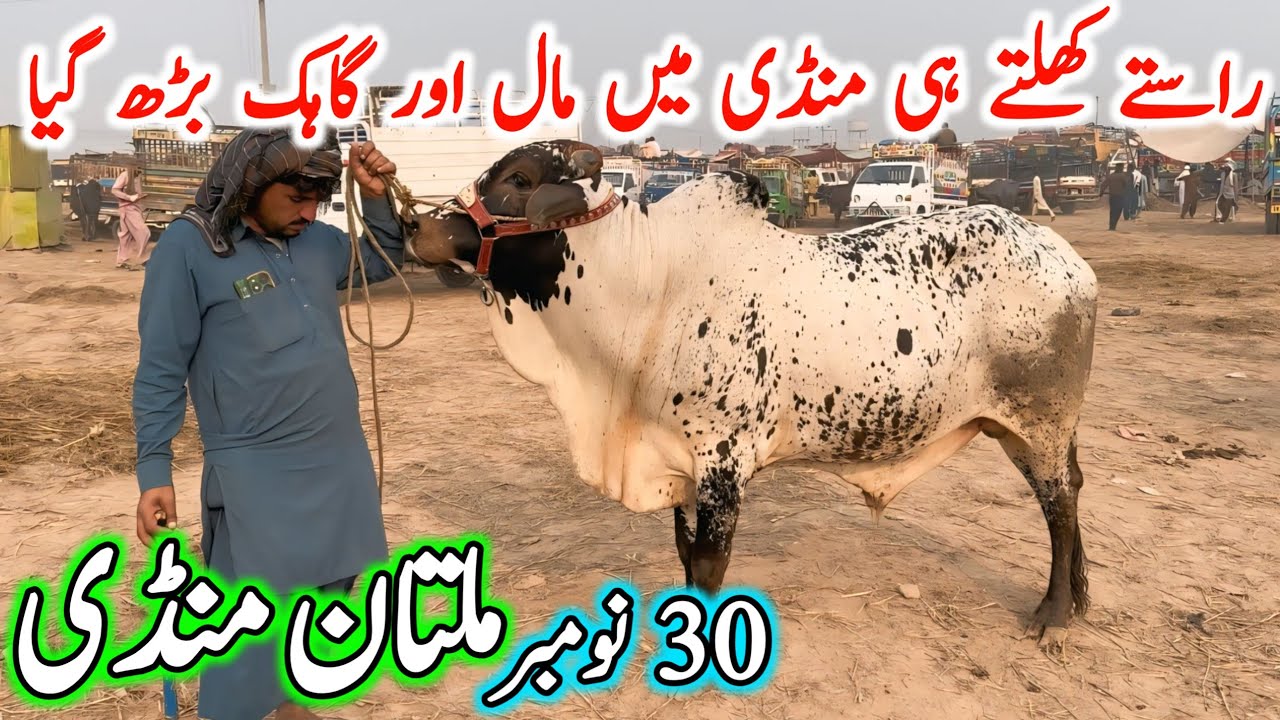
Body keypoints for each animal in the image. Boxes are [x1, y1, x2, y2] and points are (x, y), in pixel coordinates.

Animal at [405, 140, 1099, 649]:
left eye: (518, 179)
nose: (416, 224)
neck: (647, 286)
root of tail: (1068, 259)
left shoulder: (722, 462)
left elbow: (711, 565)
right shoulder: (680, 465)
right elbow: (686, 560)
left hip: (1039, 424)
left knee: (1060, 508)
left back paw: (1053, 614)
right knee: (1073, 489)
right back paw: (1076, 601)